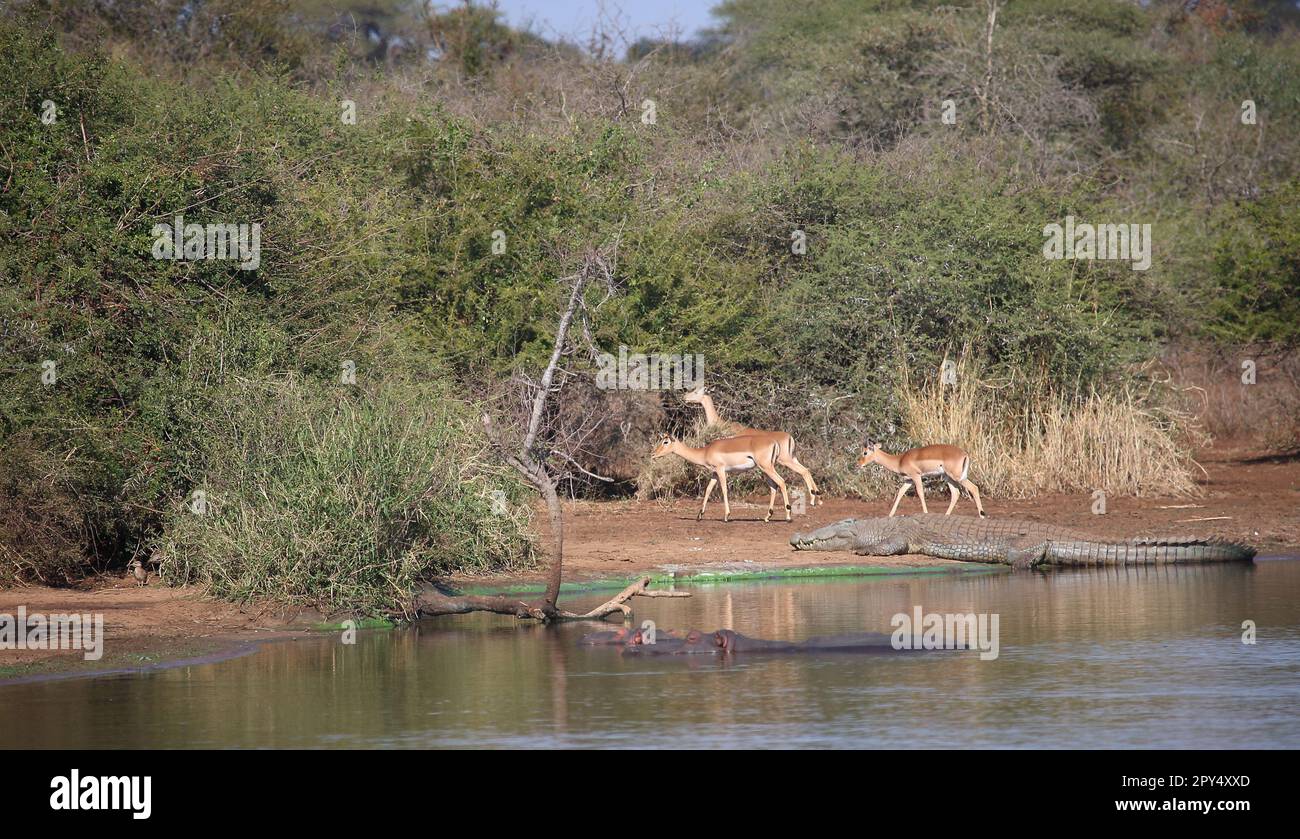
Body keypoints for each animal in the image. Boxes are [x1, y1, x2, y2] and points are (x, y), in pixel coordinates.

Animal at [651, 434, 792, 523]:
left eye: (665, 442)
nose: (653, 454)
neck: (705, 451)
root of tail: (774, 442)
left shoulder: (721, 470)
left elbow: (724, 490)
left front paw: (726, 516)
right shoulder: (714, 473)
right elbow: (708, 490)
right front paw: (699, 516)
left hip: (767, 467)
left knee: (781, 482)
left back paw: (788, 517)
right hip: (765, 469)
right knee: (773, 486)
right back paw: (767, 517)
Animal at [682, 385, 820, 508]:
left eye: (696, 391)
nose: (685, 398)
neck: (721, 423)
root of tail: (789, 436)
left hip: (784, 461)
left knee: (802, 472)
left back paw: (812, 501)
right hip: (792, 459)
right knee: (807, 470)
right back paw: (817, 500)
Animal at [856, 440, 986, 518]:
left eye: (865, 452)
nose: (858, 464)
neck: (900, 460)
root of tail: (964, 454)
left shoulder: (916, 476)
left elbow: (920, 493)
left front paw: (926, 513)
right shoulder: (908, 480)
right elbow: (900, 493)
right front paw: (890, 515)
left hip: (957, 477)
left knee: (974, 488)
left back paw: (982, 515)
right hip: (948, 477)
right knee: (956, 493)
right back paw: (946, 515)